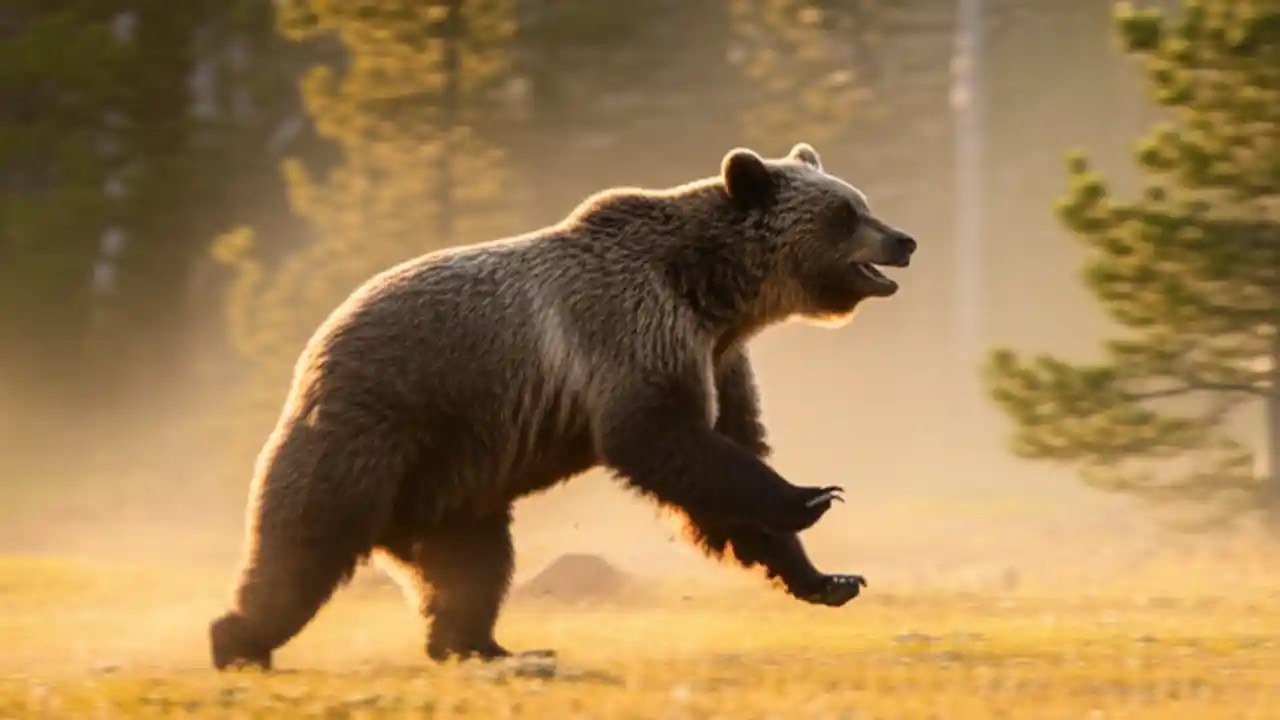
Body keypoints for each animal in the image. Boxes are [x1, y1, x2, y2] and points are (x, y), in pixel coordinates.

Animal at [209, 142, 917, 670]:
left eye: (861, 203)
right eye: (846, 213)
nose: (904, 240)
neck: (713, 294)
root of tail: (316, 346)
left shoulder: (720, 359)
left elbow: (729, 451)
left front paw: (828, 578)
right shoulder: (632, 329)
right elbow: (661, 438)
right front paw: (811, 496)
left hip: (454, 485)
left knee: (472, 566)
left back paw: (483, 645)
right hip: (376, 429)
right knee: (304, 547)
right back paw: (238, 644)